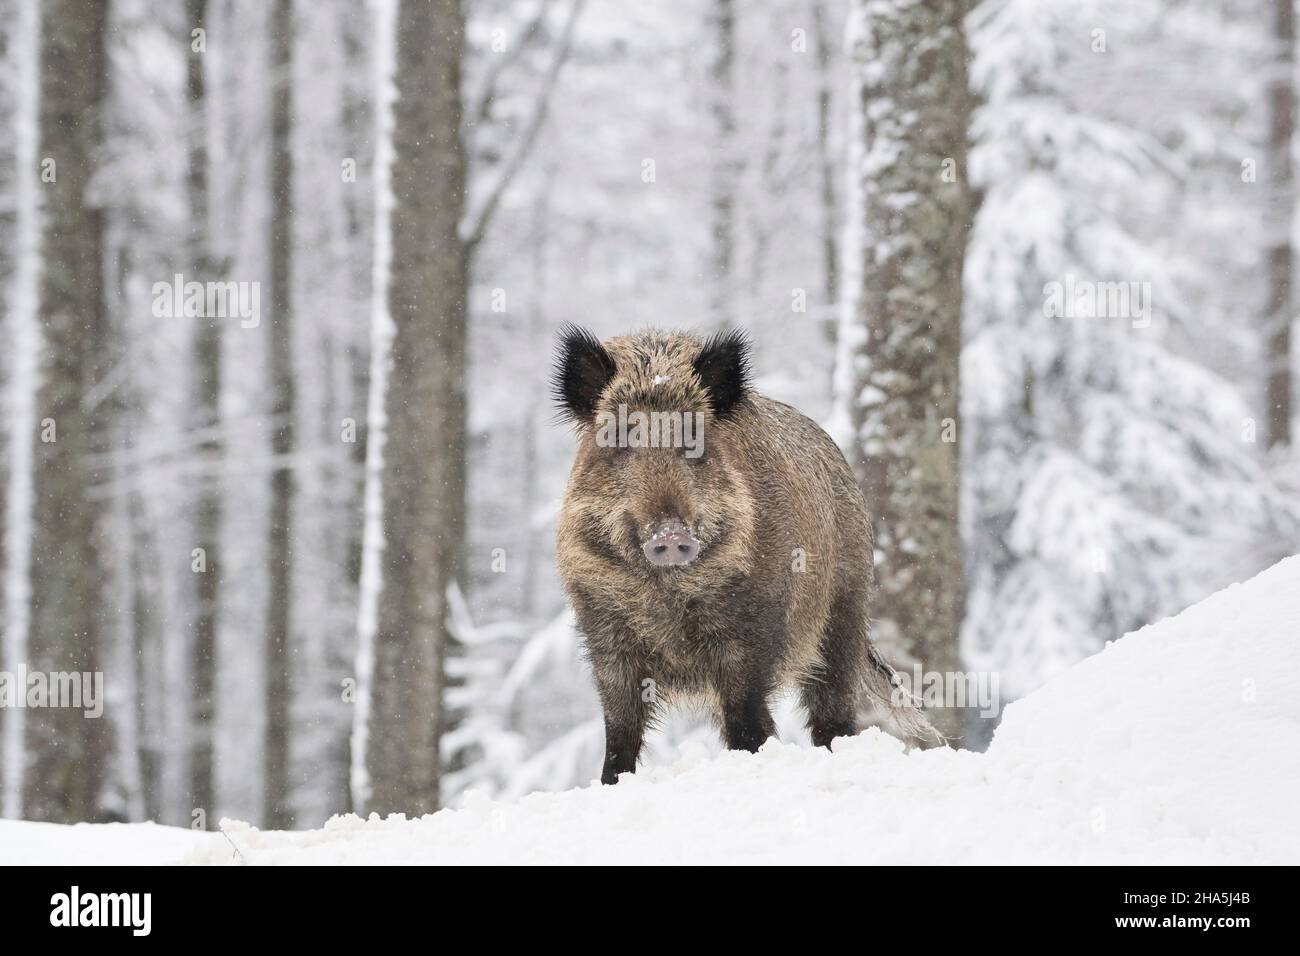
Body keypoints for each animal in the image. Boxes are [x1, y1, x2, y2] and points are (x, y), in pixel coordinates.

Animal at [552, 325, 937, 784]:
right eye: (622, 439)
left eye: (693, 441)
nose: (671, 535)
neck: (665, 595)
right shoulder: (603, 632)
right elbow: (620, 729)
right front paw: (611, 783)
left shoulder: (753, 631)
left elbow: (748, 719)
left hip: (845, 612)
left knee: (833, 710)